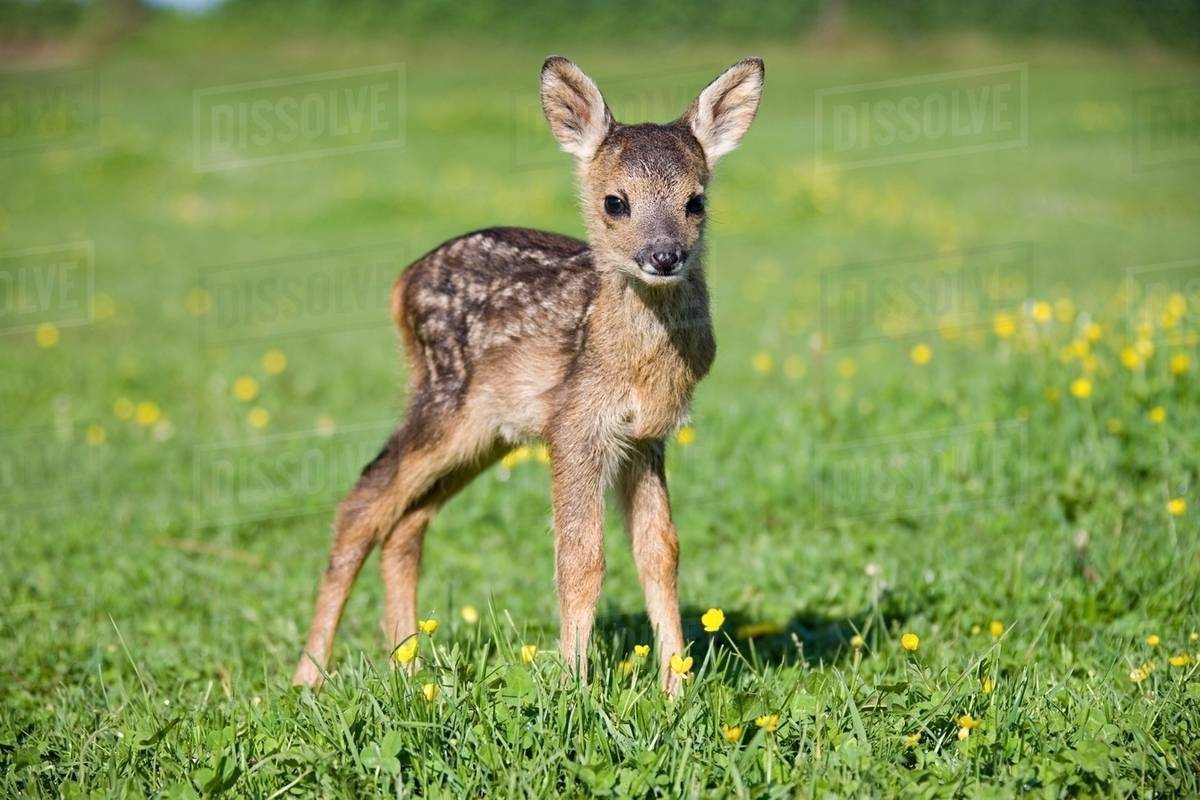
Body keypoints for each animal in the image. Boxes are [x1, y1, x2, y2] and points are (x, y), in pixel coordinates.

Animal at [292, 56, 764, 693]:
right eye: (615, 202)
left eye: (696, 201)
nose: (664, 256)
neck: (633, 360)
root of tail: (401, 283)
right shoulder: (574, 425)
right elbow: (580, 559)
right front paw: (573, 686)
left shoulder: (646, 437)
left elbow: (660, 552)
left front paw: (675, 690)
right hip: (446, 400)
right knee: (361, 505)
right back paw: (308, 676)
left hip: (487, 433)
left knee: (406, 521)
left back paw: (408, 669)